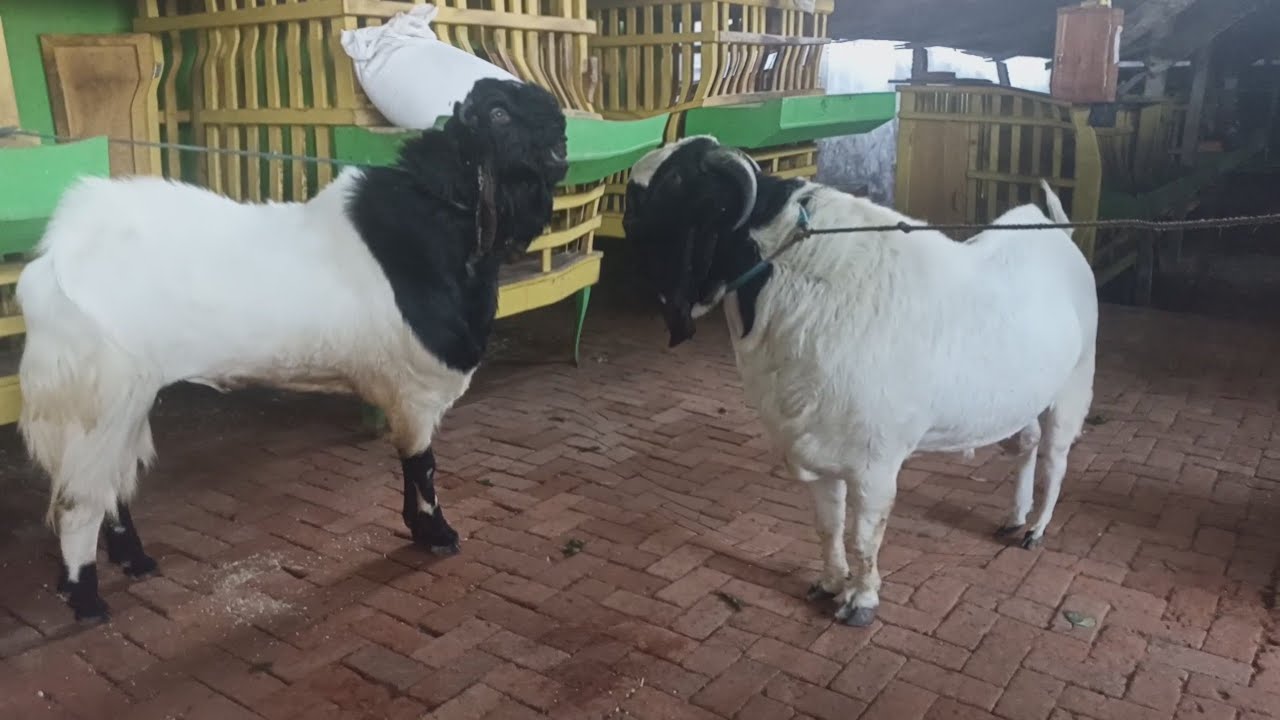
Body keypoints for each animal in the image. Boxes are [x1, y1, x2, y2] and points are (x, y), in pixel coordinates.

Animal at [17, 78, 568, 622]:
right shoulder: (413, 391)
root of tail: (52, 261)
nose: (562, 140)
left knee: (110, 481)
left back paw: (135, 561)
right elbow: (422, 464)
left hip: (127, 397)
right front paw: (436, 533)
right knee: (80, 497)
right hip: (102, 397)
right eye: (498, 113)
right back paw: (86, 598)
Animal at [623, 136, 1097, 627]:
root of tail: (1055, 230)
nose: (624, 220)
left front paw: (861, 600)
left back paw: (1037, 528)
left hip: (1075, 383)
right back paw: (1015, 516)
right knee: (1027, 445)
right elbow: (828, 525)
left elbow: (865, 535)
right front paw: (831, 582)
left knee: (1055, 458)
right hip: (1023, 398)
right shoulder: (817, 450)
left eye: (666, 189)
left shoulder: (876, 463)